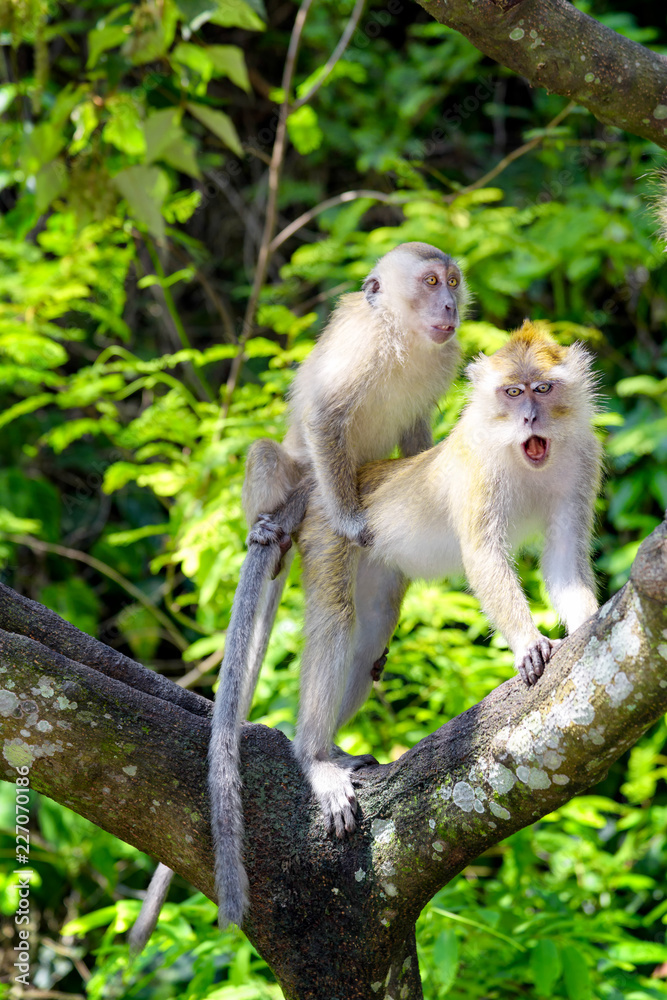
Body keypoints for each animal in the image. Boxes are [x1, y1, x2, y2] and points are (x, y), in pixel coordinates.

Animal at [129, 242, 469, 948]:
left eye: (452, 282)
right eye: (429, 282)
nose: (450, 305)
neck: (403, 339)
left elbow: (417, 428)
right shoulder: (360, 353)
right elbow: (323, 417)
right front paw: (349, 516)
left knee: (370, 628)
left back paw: (331, 744)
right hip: (299, 497)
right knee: (279, 475)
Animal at [293, 321, 601, 840]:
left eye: (542, 388)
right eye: (512, 392)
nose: (530, 418)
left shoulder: (581, 462)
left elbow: (562, 561)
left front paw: (589, 622)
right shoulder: (479, 469)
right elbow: (482, 555)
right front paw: (528, 642)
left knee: (370, 638)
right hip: (329, 536)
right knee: (336, 621)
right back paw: (316, 758)